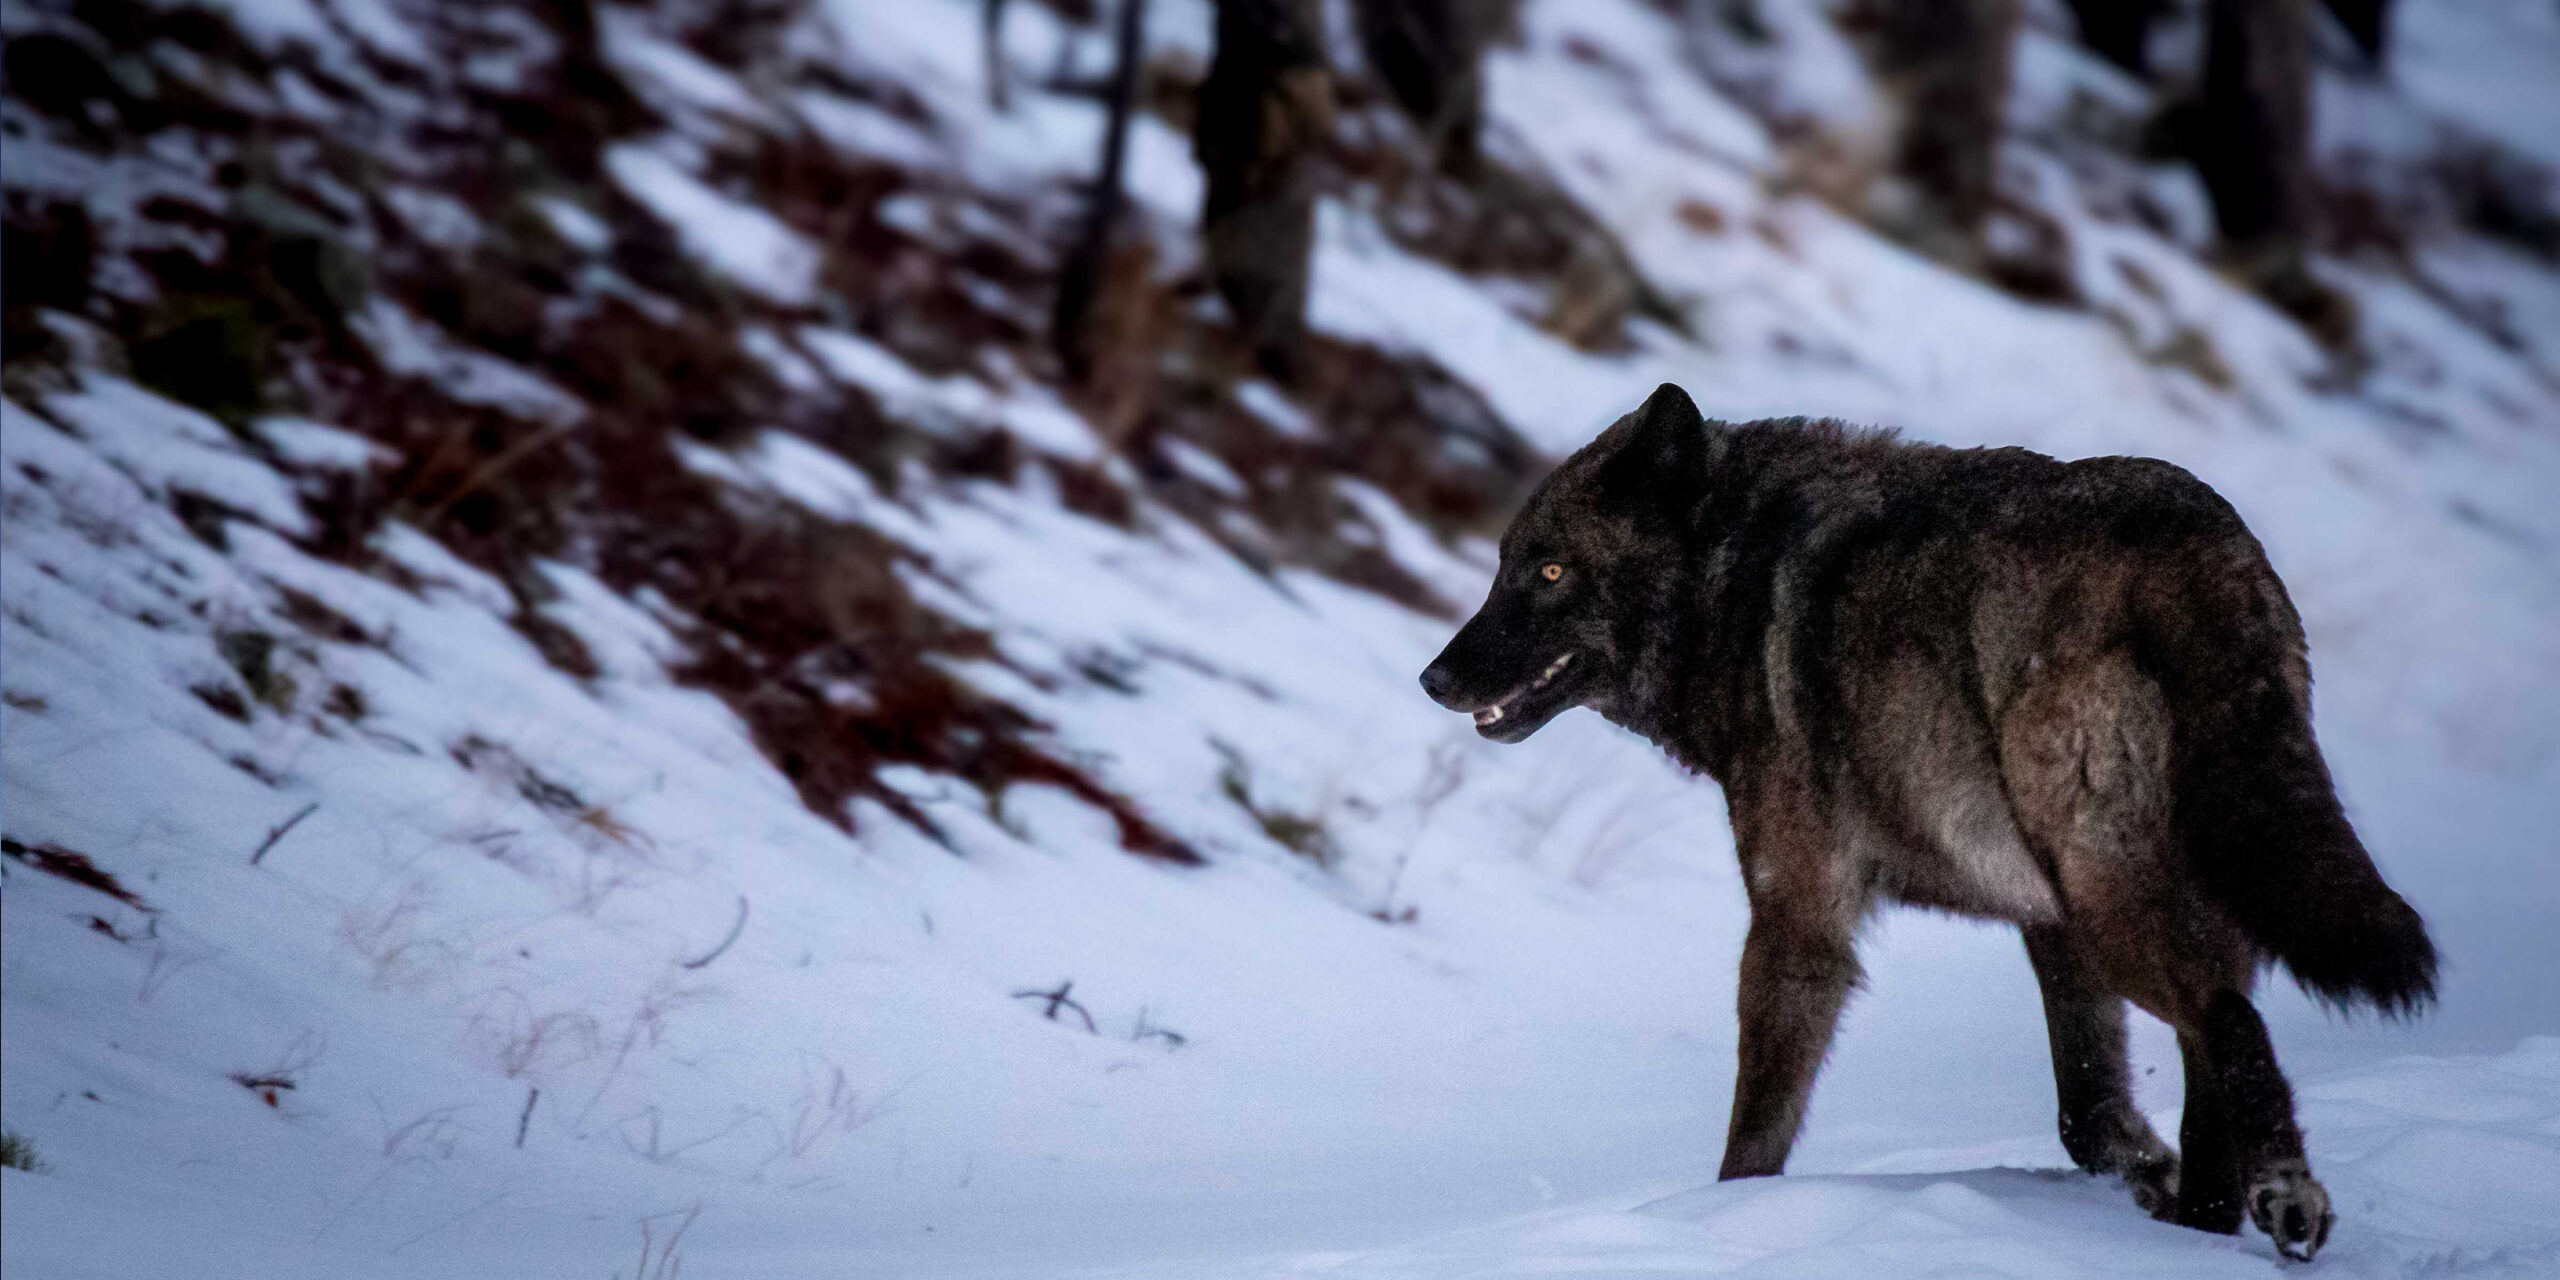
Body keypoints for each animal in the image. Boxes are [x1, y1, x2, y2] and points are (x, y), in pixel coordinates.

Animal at [1419, 384, 2435, 1261]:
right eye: (1504, 566)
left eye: (1550, 569)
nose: (1433, 678)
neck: (1733, 584)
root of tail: (2193, 542)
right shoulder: (2045, 923)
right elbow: (2087, 1114)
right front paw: (2152, 1181)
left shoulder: (1799, 928)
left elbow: (1753, 1142)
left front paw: (1720, 1231)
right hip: (2133, 892)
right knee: (2210, 1036)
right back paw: (2207, 1225)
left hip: (2112, 901)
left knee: (2228, 1018)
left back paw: (2283, 1195)